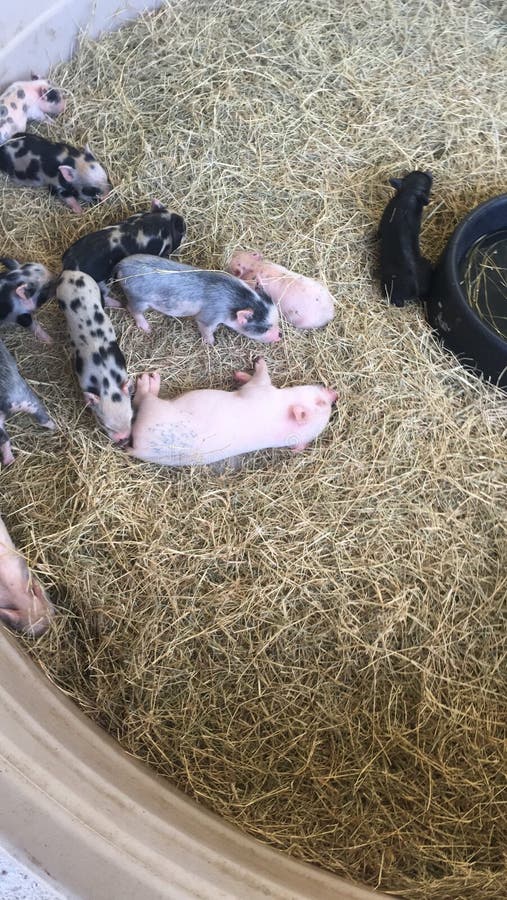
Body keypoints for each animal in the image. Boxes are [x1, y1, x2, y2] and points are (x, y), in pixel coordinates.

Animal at [114, 256, 280, 344]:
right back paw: (147, 328)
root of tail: (121, 265)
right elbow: (205, 327)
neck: (235, 299)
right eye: (263, 329)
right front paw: (211, 343)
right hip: (138, 298)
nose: (279, 336)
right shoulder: (210, 315)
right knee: (132, 309)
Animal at [127, 357, 337, 467]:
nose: (335, 395)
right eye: (321, 403)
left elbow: (260, 379)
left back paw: (148, 380)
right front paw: (240, 374)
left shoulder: (258, 392)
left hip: (152, 408)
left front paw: (259, 361)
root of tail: (138, 449)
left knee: (141, 400)